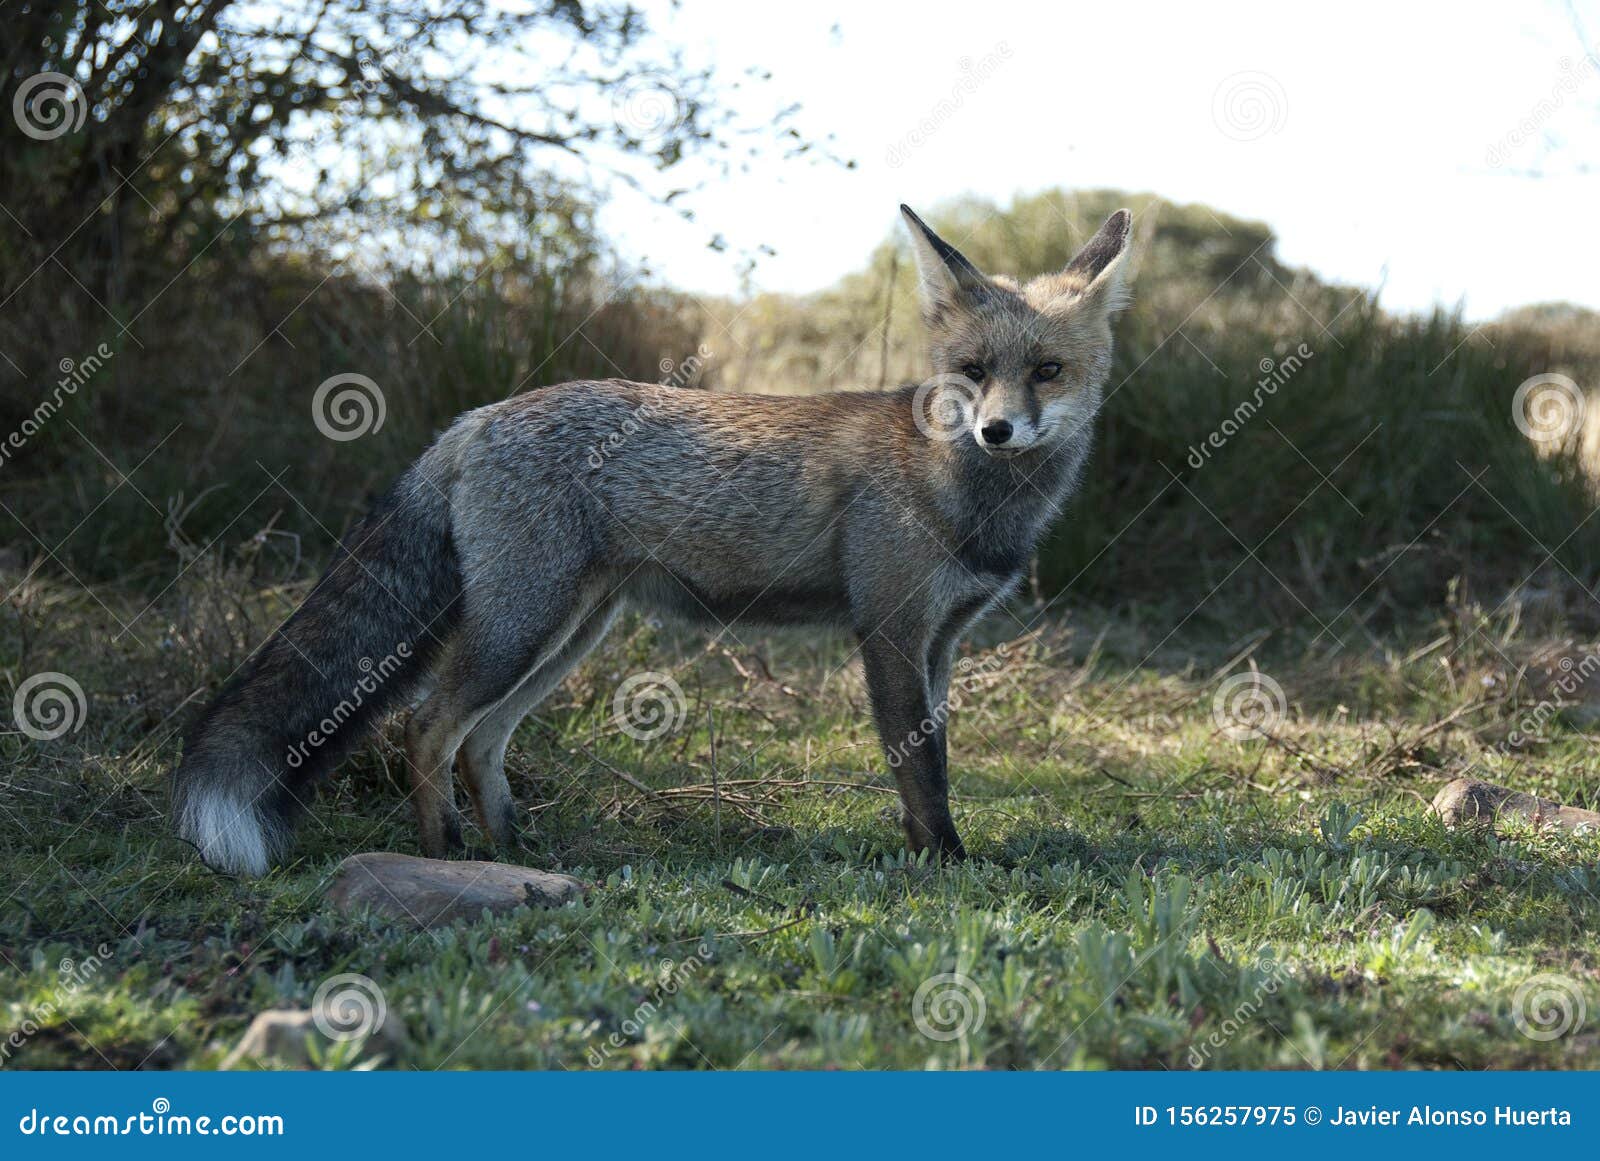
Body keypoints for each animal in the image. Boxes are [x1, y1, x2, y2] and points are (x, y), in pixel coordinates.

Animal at [171, 204, 1133, 876]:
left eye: (1047, 371)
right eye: (972, 371)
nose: (997, 431)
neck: (962, 490)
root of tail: (477, 416)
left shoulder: (942, 641)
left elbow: (933, 759)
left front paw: (929, 851)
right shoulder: (890, 630)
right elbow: (922, 767)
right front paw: (947, 864)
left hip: (567, 633)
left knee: (482, 739)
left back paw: (515, 845)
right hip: (521, 625)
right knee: (427, 723)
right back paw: (445, 850)